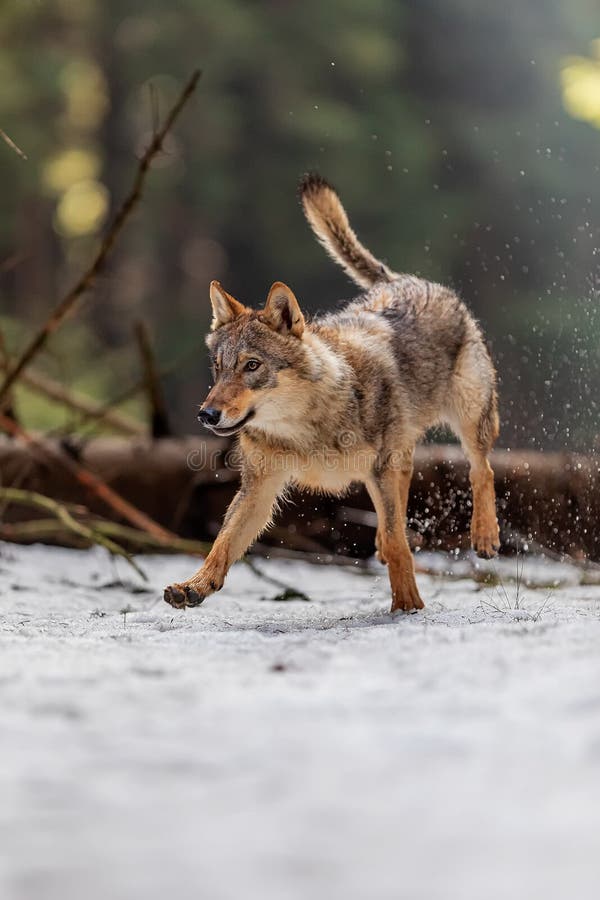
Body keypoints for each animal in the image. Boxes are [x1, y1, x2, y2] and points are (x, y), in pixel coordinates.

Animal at [164, 173, 500, 613]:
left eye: (252, 366)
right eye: (219, 368)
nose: (206, 415)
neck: (303, 429)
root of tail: (401, 280)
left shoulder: (378, 467)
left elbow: (399, 542)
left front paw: (408, 606)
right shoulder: (260, 486)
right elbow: (222, 543)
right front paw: (194, 586)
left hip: (470, 418)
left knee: (481, 469)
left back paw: (485, 535)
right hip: (404, 448)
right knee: (405, 492)